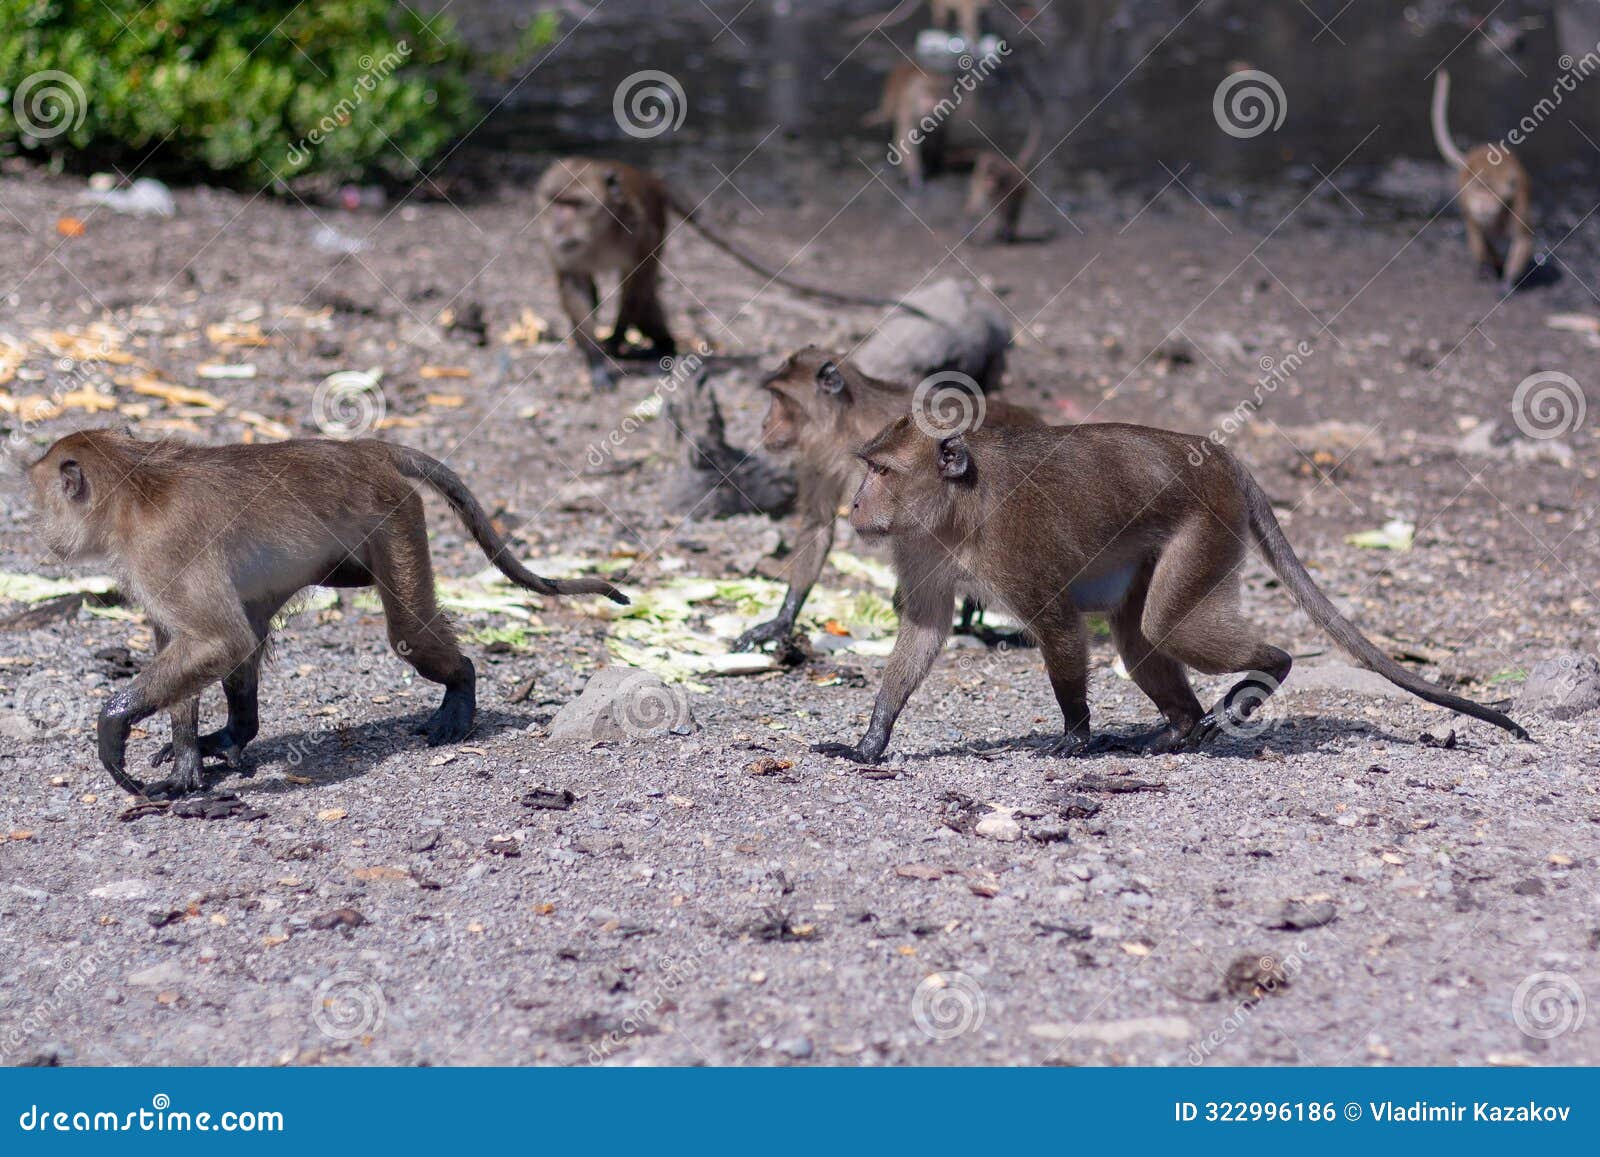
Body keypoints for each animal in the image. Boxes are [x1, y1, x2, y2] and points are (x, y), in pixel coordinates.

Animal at [26, 430, 628, 798]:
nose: (46, 536)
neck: (133, 485)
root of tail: (359, 449)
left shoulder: (163, 551)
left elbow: (221, 640)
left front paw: (114, 723)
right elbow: (200, 644)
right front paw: (186, 760)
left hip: (394, 513)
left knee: (406, 631)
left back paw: (461, 687)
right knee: (255, 626)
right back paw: (237, 733)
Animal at [534, 158, 934, 391]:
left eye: (574, 204)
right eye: (554, 202)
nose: (555, 225)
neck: (599, 233)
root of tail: (652, 177)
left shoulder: (640, 225)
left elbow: (636, 279)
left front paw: (616, 339)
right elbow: (576, 284)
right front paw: (596, 357)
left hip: (656, 217)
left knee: (643, 288)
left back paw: (658, 344)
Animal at [732, 347, 1040, 653]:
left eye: (779, 397)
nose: (764, 424)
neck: (848, 426)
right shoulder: (821, 455)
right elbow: (817, 524)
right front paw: (782, 620)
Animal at [812, 417, 1528, 764]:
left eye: (881, 471)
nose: (854, 505)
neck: (959, 509)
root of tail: (1223, 458)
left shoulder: (1018, 548)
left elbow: (1060, 628)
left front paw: (1074, 736)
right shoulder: (918, 544)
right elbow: (924, 629)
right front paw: (872, 741)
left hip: (1206, 525)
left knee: (1166, 629)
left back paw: (1261, 676)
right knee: (1139, 637)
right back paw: (1180, 728)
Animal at [1431, 70, 1534, 294]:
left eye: (1491, 192)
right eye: (1479, 189)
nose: (1483, 204)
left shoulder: (1517, 206)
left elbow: (1522, 239)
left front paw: (1507, 282)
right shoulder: (1468, 202)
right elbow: (1477, 233)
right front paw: (1487, 267)